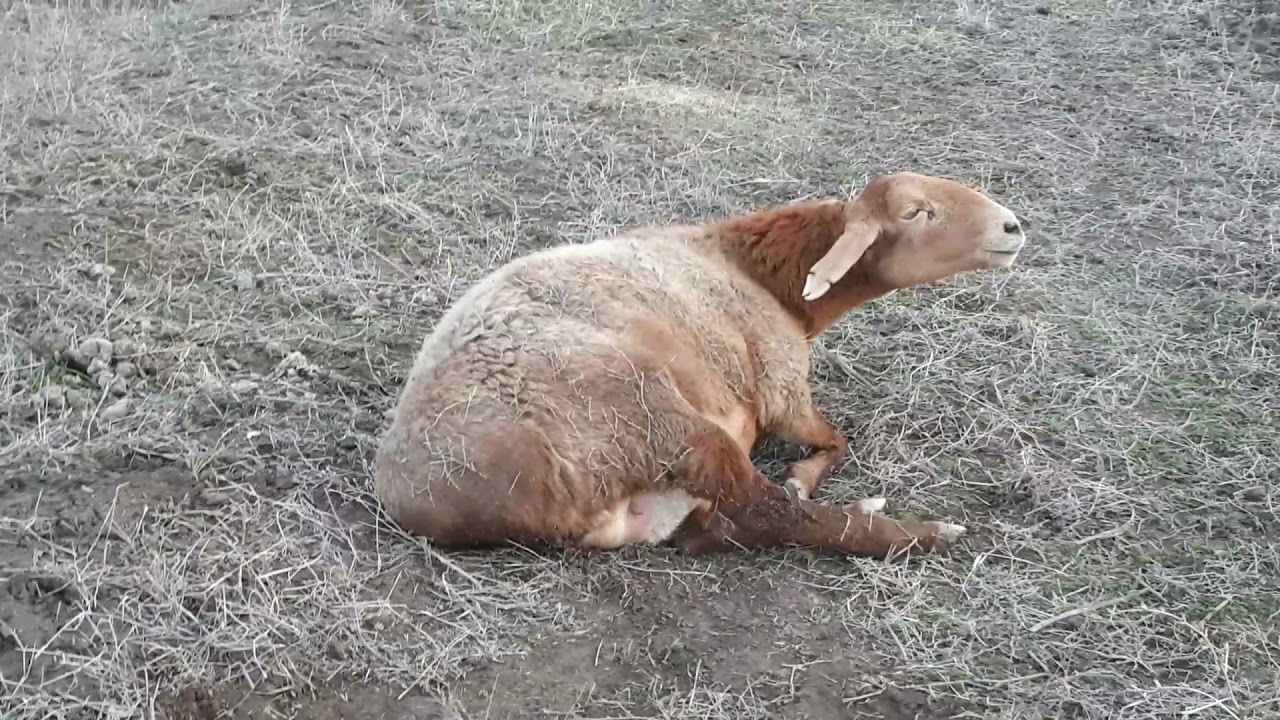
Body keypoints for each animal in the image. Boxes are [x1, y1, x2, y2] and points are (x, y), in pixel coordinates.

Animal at [374, 171, 1028, 559]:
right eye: (917, 212)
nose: (1013, 226)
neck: (759, 273)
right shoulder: (782, 386)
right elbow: (837, 439)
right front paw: (803, 477)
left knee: (721, 529)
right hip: (653, 418)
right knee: (773, 518)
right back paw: (921, 532)